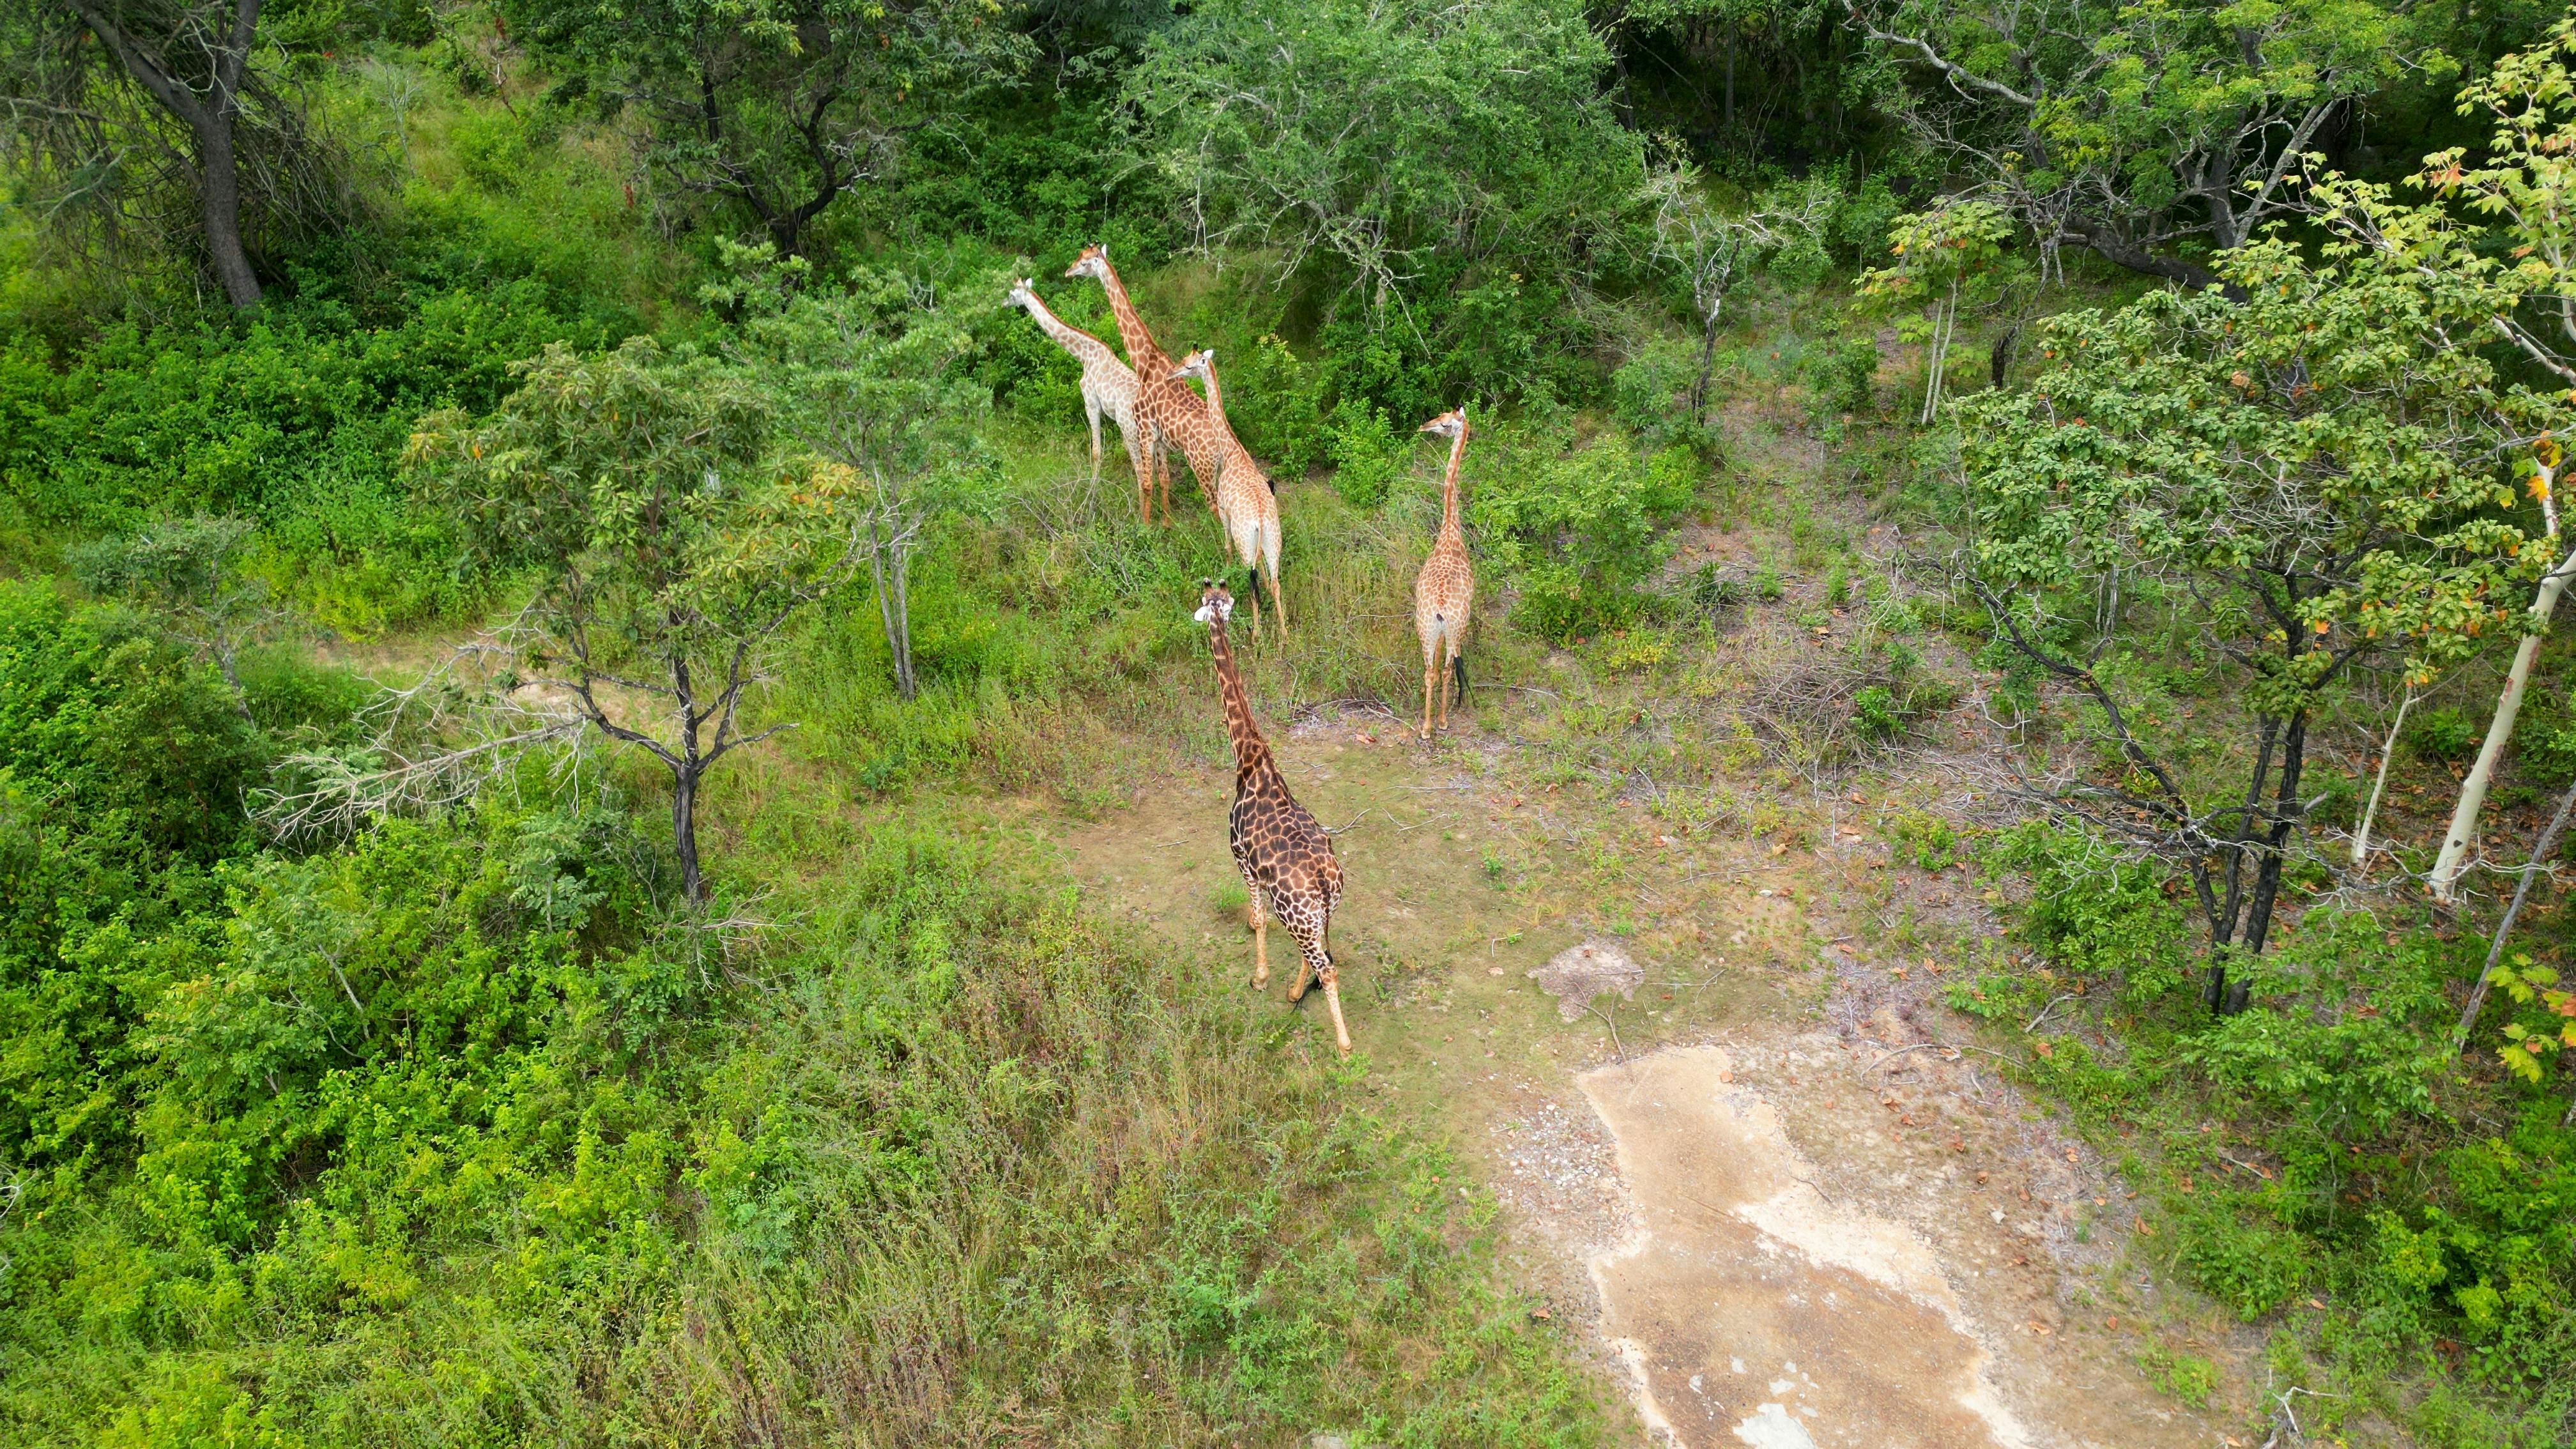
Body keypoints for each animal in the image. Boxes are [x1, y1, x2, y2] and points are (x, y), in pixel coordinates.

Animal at [1006, 277, 1138, 489]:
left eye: (1011, 294)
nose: (1003, 304)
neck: (1084, 355)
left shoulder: (1091, 402)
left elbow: (1096, 451)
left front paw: (1092, 490)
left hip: (1131, 428)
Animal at [1063, 245, 1223, 525]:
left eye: (1084, 262)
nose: (1068, 272)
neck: (1144, 362)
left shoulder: (1146, 430)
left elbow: (1148, 483)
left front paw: (1146, 527)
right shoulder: (1159, 438)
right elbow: (1164, 479)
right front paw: (1166, 525)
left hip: (1202, 464)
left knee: (1217, 509)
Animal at [1170, 349, 1287, 643]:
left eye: (1189, 365)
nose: (1173, 373)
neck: (1234, 450)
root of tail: (1260, 519)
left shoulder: (1224, 511)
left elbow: (1226, 545)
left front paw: (1225, 569)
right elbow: (1265, 576)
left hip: (1247, 540)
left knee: (1251, 582)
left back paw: (1257, 634)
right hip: (1273, 540)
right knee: (1275, 582)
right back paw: (1284, 633)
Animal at [1196, 580, 1350, 1056]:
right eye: (1216, 604)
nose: (1212, 609)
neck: (1250, 758)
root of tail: (1326, 880)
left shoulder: (1240, 857)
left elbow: (1260, 918)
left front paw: (1259, 977)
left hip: (1295, 914)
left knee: (1328, 968)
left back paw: (1344, 1045)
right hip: (1318, 915)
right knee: (1321, 956)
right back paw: (1295, 992)